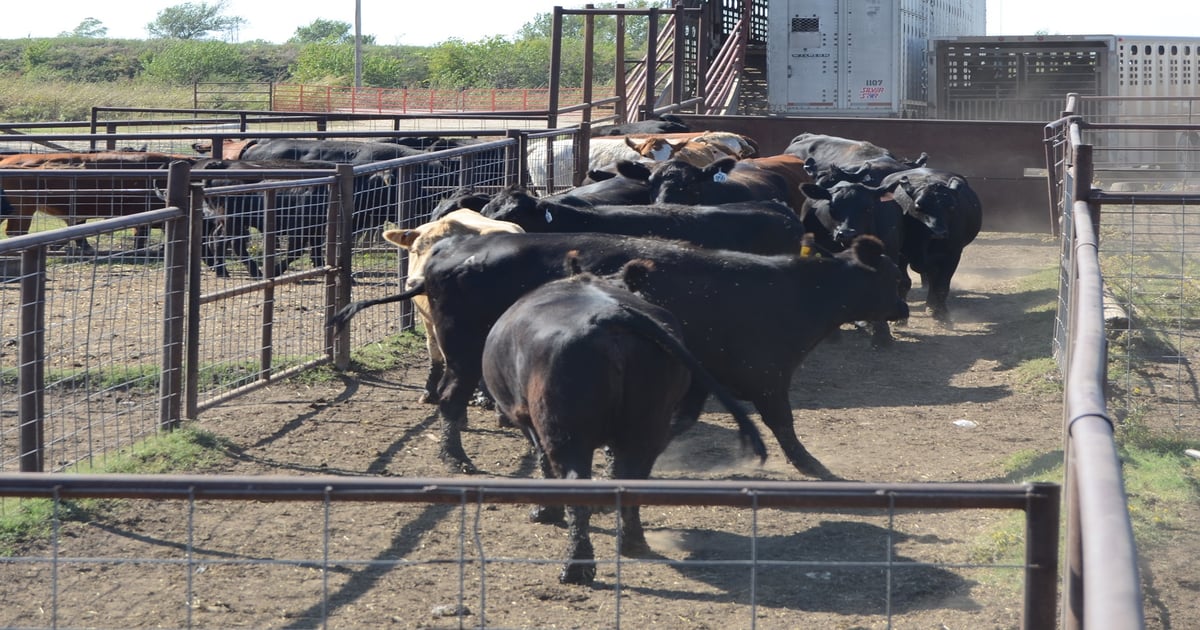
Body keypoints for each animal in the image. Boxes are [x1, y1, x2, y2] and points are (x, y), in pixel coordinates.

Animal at [330, 231, 909, 479]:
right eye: (891, 275)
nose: (904, 306)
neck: (793, 290)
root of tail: (443, 257)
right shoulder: (766, 375)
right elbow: (784, 425)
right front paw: (813, 465)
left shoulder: (700, 378)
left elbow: (683, 418)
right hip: (466, 353)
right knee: (450, 398)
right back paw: (456, 458)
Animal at [483, 262, 766, 584]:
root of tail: (610, 315)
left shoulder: (529, 423)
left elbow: (544, 464)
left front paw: (545, 511)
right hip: (648, 425)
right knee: (632, 480)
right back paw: (632, 542)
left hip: (565, 432)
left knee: (575, 485)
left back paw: (576, 566)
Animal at [880, 167, 984, 324]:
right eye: (918, 206)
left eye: (951, 206)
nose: (938, 233)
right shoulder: (900, 254)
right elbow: (903, 282)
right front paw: (900, 318)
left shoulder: (952, 254)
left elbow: (941, 285)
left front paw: (941, 313)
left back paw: (932, 305)